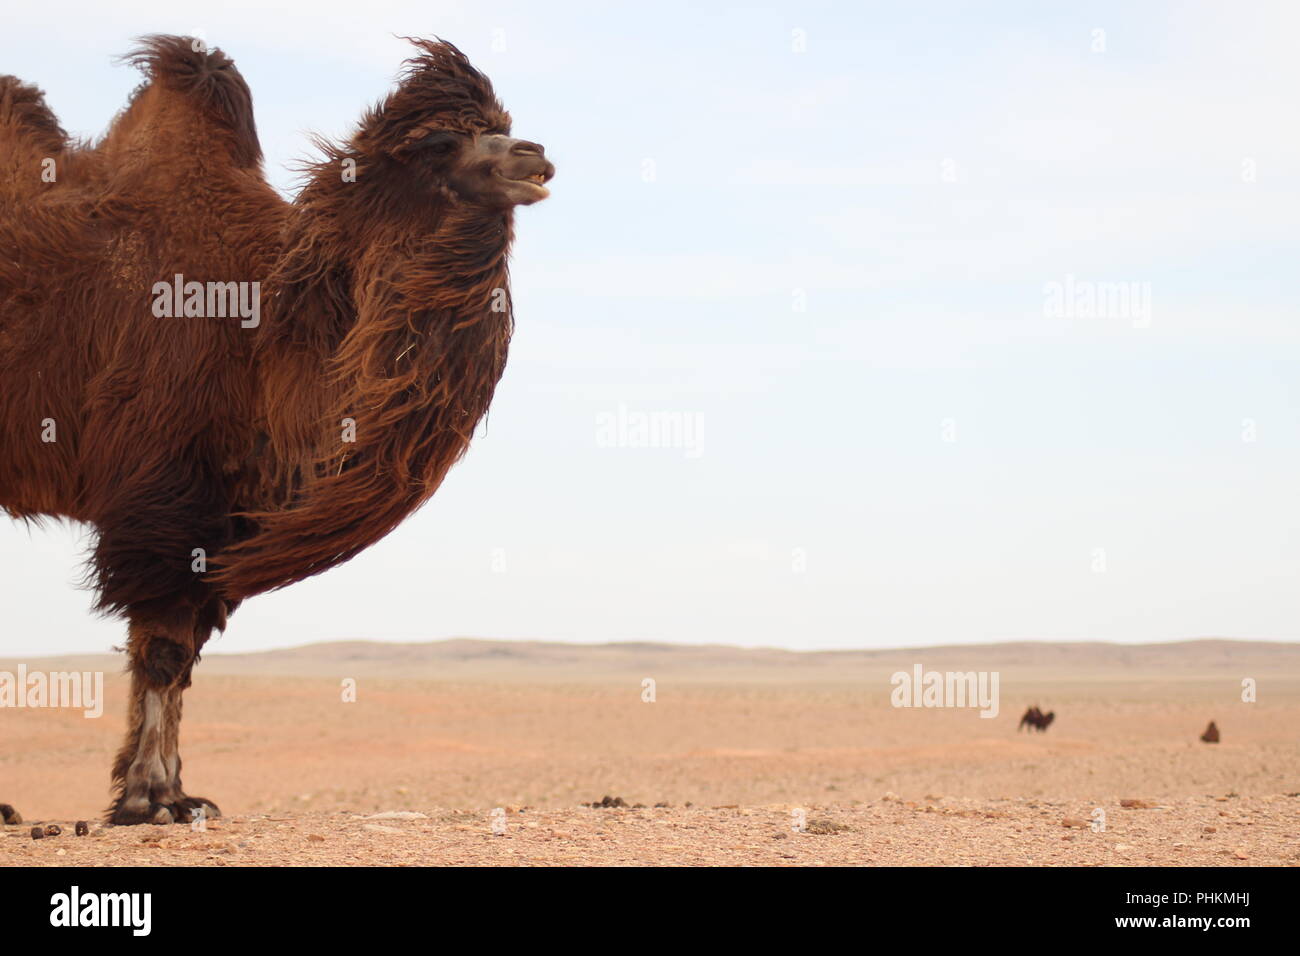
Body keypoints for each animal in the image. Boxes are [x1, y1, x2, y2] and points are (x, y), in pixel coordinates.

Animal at [0, 35, 553, 824]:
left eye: (503, 125)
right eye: (439, 142)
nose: (535, 156)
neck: (271, 335)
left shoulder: (220, 514)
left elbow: (181, 657)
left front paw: (177, 794)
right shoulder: (162, 498)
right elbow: (163, 652)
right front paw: (147, 799)